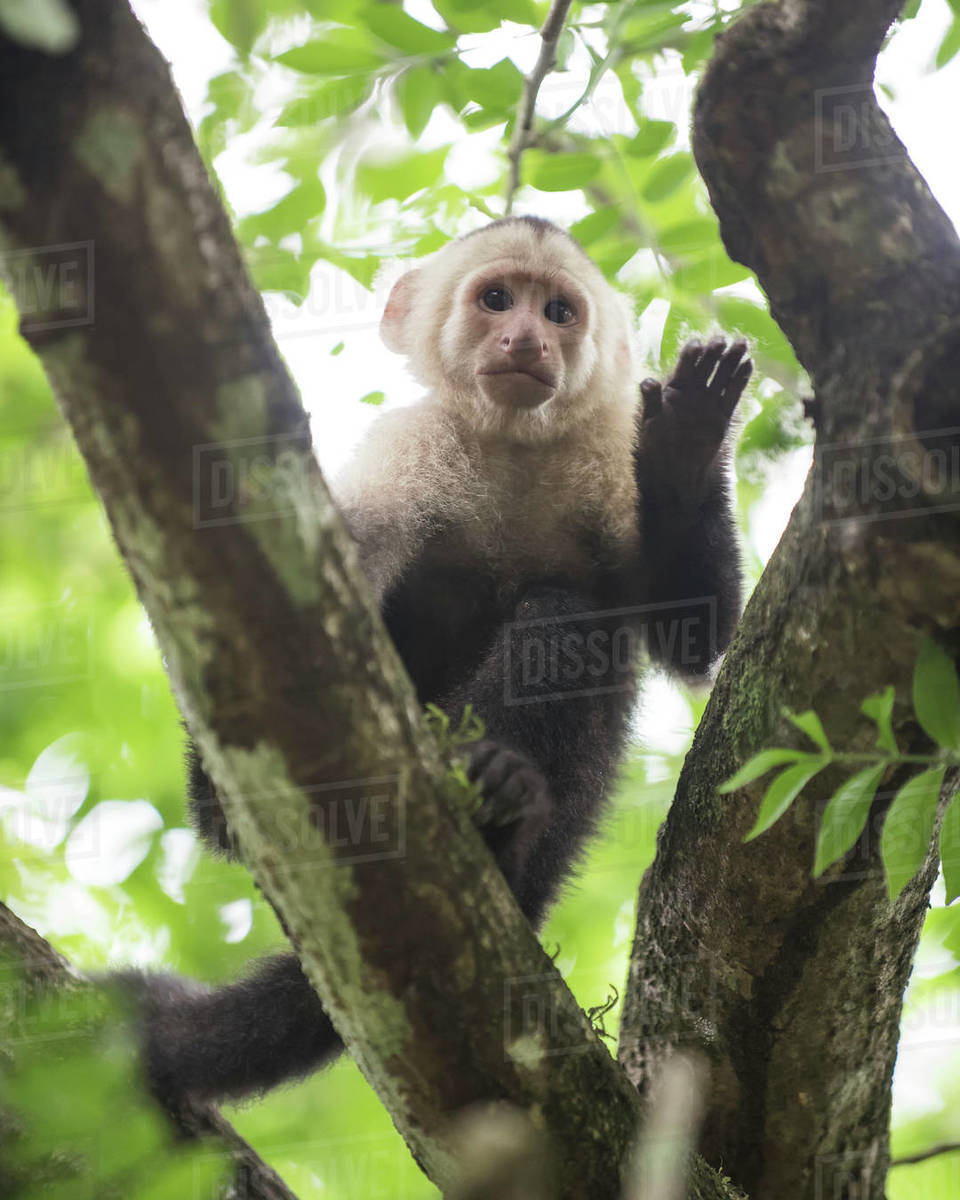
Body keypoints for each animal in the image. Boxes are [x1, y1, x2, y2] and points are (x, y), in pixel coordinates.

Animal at [115, 215, 751, 1111]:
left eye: (559, 312)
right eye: (496, 299)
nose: (525, 338)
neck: (514, 451)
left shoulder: (604, 460)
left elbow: (692, 634)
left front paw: (688, 449)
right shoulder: (411, 445)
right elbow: (331, 570)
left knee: (567, 620)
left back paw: (502, 814)